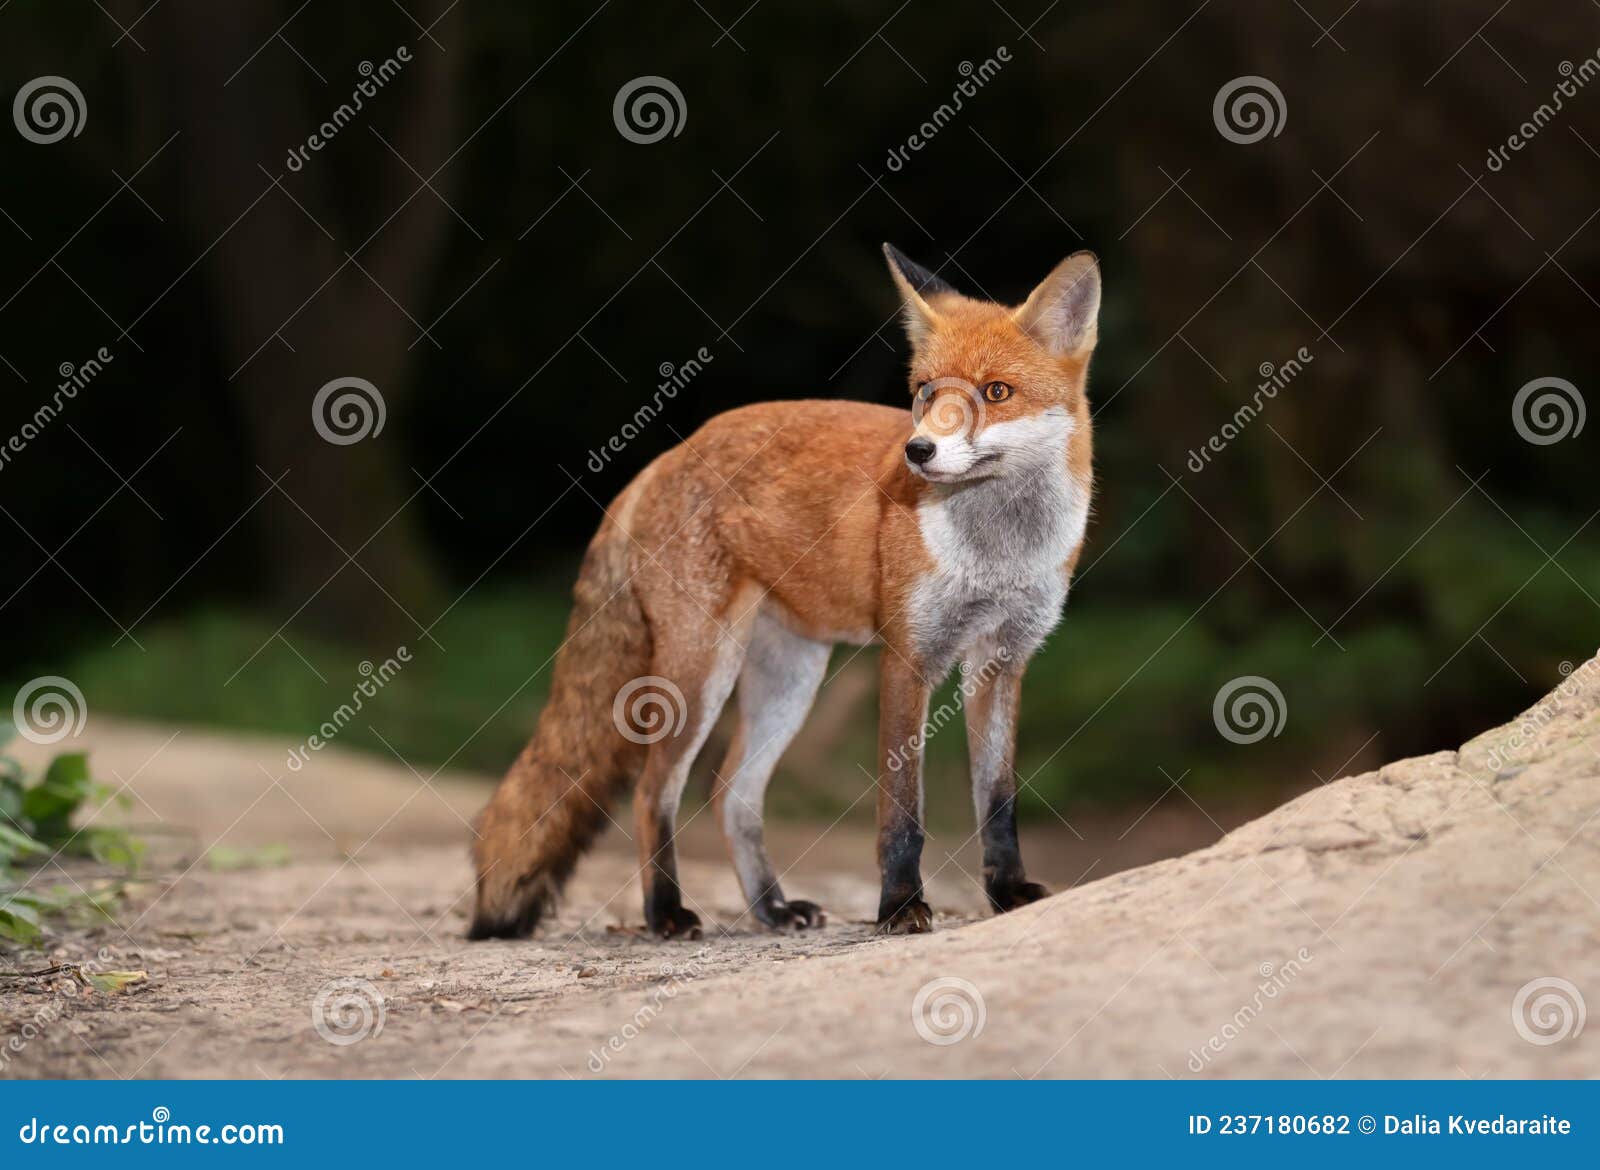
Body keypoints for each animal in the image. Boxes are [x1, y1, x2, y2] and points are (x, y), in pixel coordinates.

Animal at [468, 243, 1099, 940]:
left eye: (996, 392)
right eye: (923, 394)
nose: (917, 451)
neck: (999, 555)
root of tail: (661, 460)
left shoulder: (1002, 660)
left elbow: (998, 800)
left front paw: (1008, 893)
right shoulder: (908, 658)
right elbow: (902, 812)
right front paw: (899, 906)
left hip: (788, 679)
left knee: (731, 794)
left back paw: (771, 907)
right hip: (700, 672)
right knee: (655, 789)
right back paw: (666, 912)